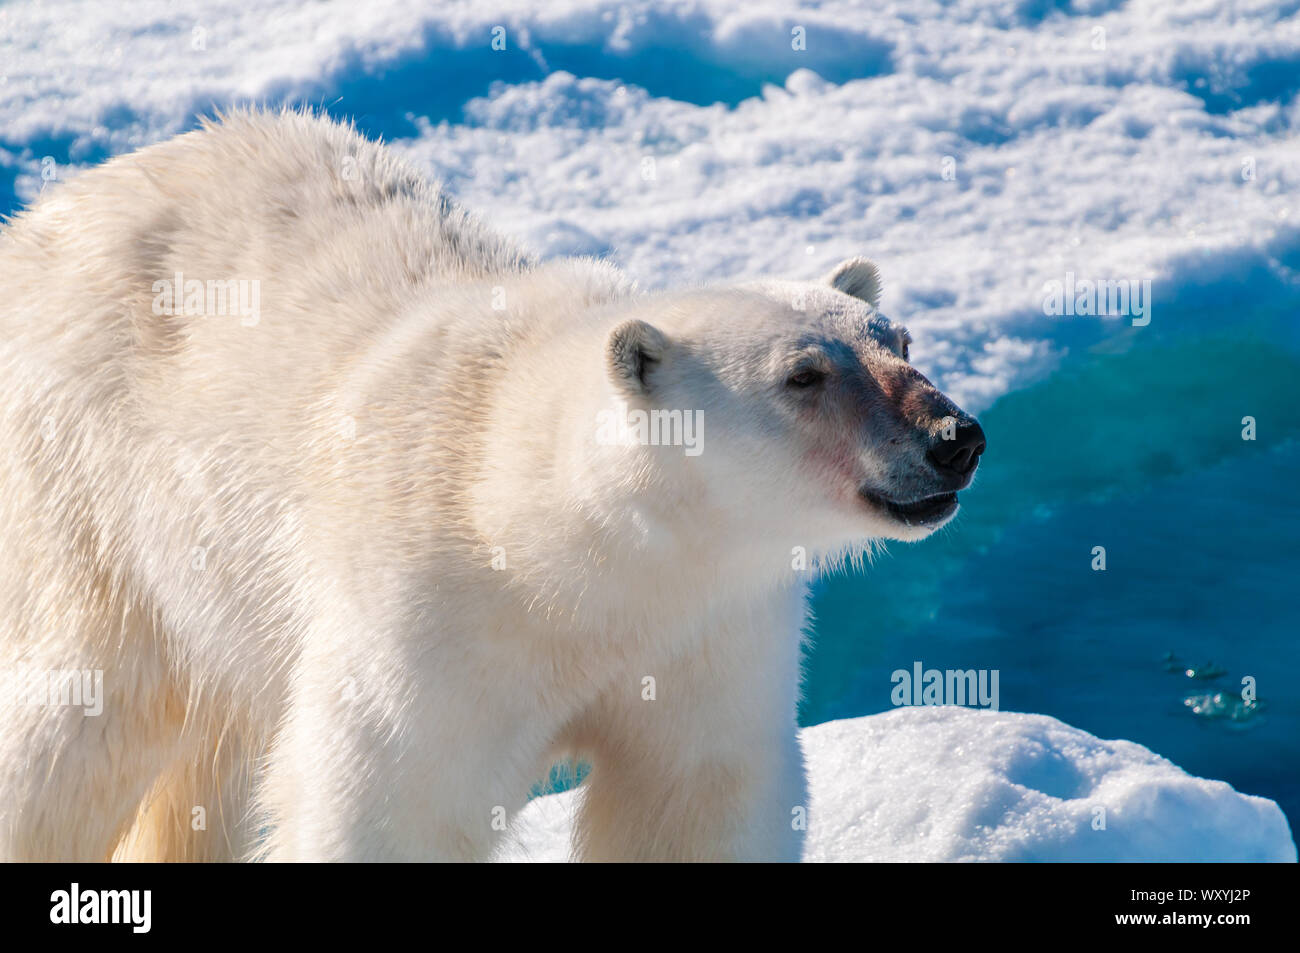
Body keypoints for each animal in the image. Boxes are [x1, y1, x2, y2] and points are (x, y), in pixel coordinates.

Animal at [0, 110, 985, 862]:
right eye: (803, 375)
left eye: (899, 339)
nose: (955, 438)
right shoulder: (433, 621)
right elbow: (394, 798)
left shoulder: (713, 631)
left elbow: (694, 797)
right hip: (90, 501)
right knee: (73, 728)